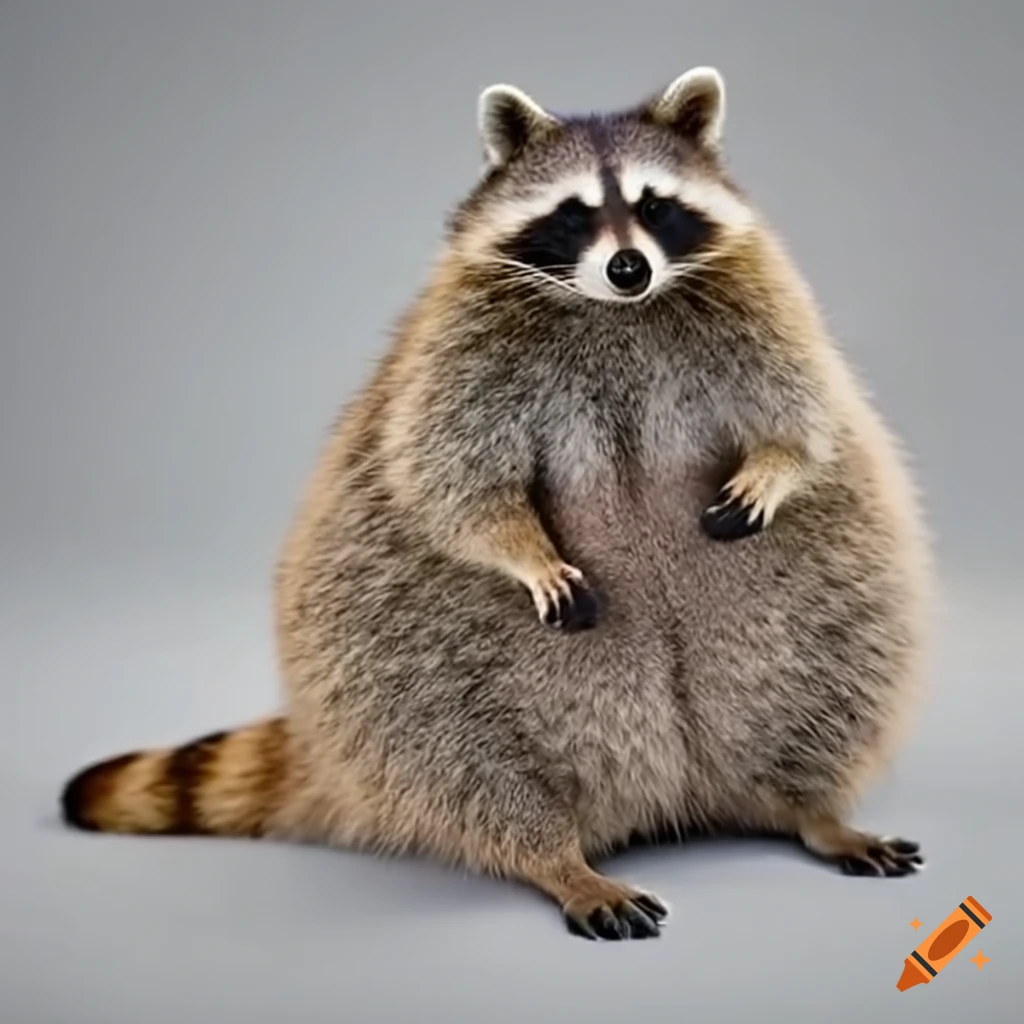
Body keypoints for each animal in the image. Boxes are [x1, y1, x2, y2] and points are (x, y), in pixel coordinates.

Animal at [61, 67, 933, 941]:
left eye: (654, 205)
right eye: (574, 212)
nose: (629, 268)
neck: (616, 312)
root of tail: (674, 796)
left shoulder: (761, 304)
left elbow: (805, 420)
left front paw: (773, 469)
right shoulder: (463, 346)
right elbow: (446, 476)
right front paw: (524, 549)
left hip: (822, 597)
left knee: (834, 674)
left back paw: (807, 807)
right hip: (395, 654)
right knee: (463, 755)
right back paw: (556, 858)